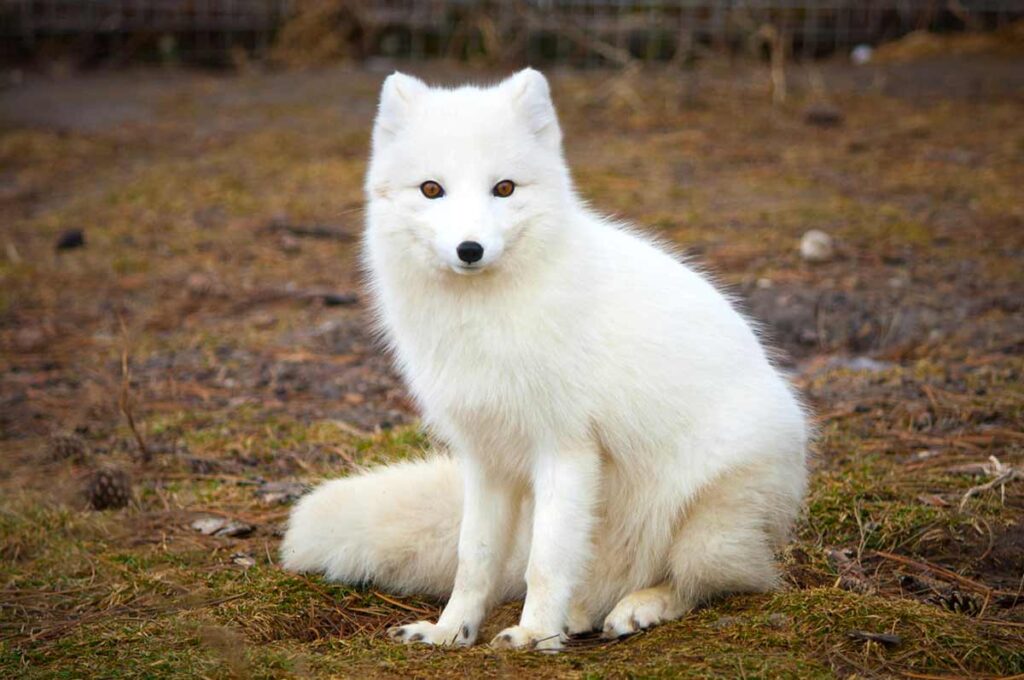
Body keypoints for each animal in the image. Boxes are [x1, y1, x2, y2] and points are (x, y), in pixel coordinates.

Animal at [280, 69, 809, 651]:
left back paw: (637, 607)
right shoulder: (485, 456)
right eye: (431, 189)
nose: (470, 250)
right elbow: (475, 558)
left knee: (715, 582)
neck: (483, 321)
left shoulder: (567, 447)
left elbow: (547, 561)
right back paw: (578, 615)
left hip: (708, 526)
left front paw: (533, 634)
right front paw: (452, 630)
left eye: (504, 188)